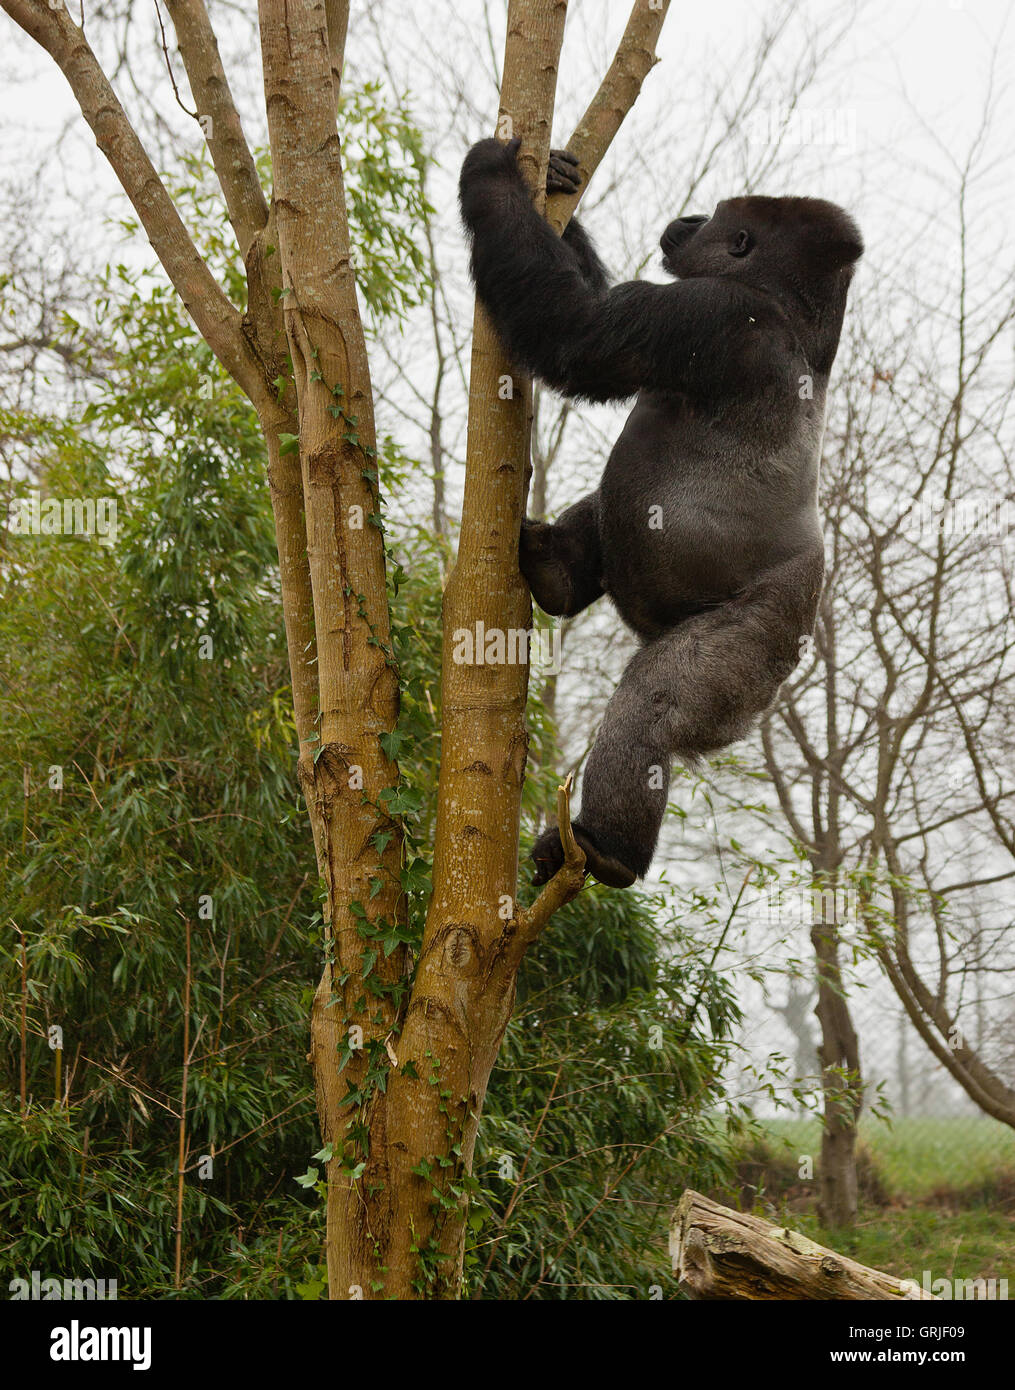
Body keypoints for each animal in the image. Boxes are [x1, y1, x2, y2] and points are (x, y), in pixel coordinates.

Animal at [458, 138, 862, 889]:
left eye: (718, 219)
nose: (689, 218)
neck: (794, 307)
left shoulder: (712, 311)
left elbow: (576, 335)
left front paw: (490, 176)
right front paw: (556, 176)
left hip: (761, 648)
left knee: (654, 706)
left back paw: (607, 848)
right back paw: (557, 571)